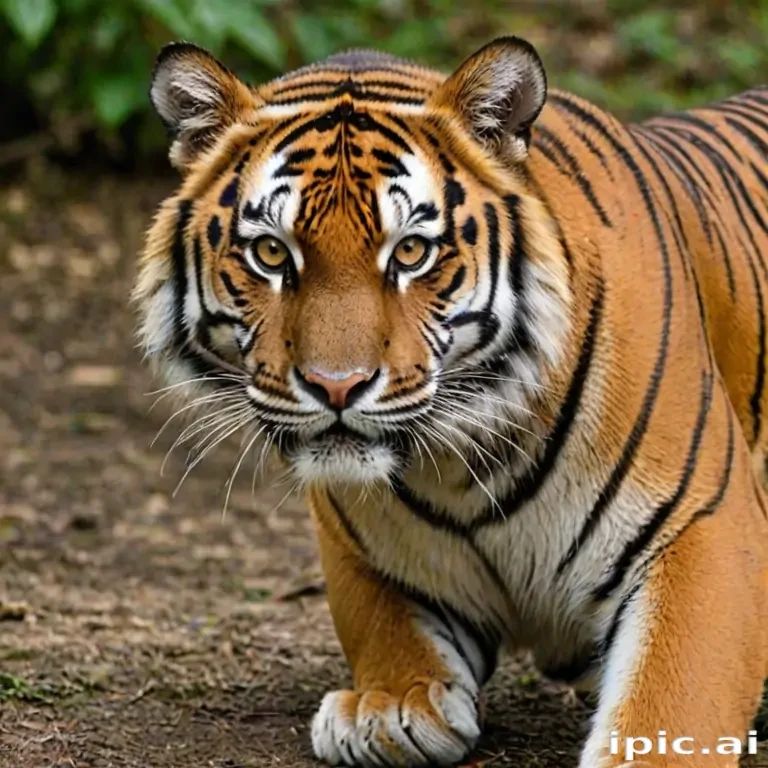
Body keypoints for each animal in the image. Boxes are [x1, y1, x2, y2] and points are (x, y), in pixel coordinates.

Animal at [134, 36, 768, 767]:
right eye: (270, 251)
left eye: (411, 251)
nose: (336, 385)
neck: (463, 465)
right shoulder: (354, 546)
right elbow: (382, 621)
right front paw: (388, 706)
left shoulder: (706, 525)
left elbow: (672, 695)